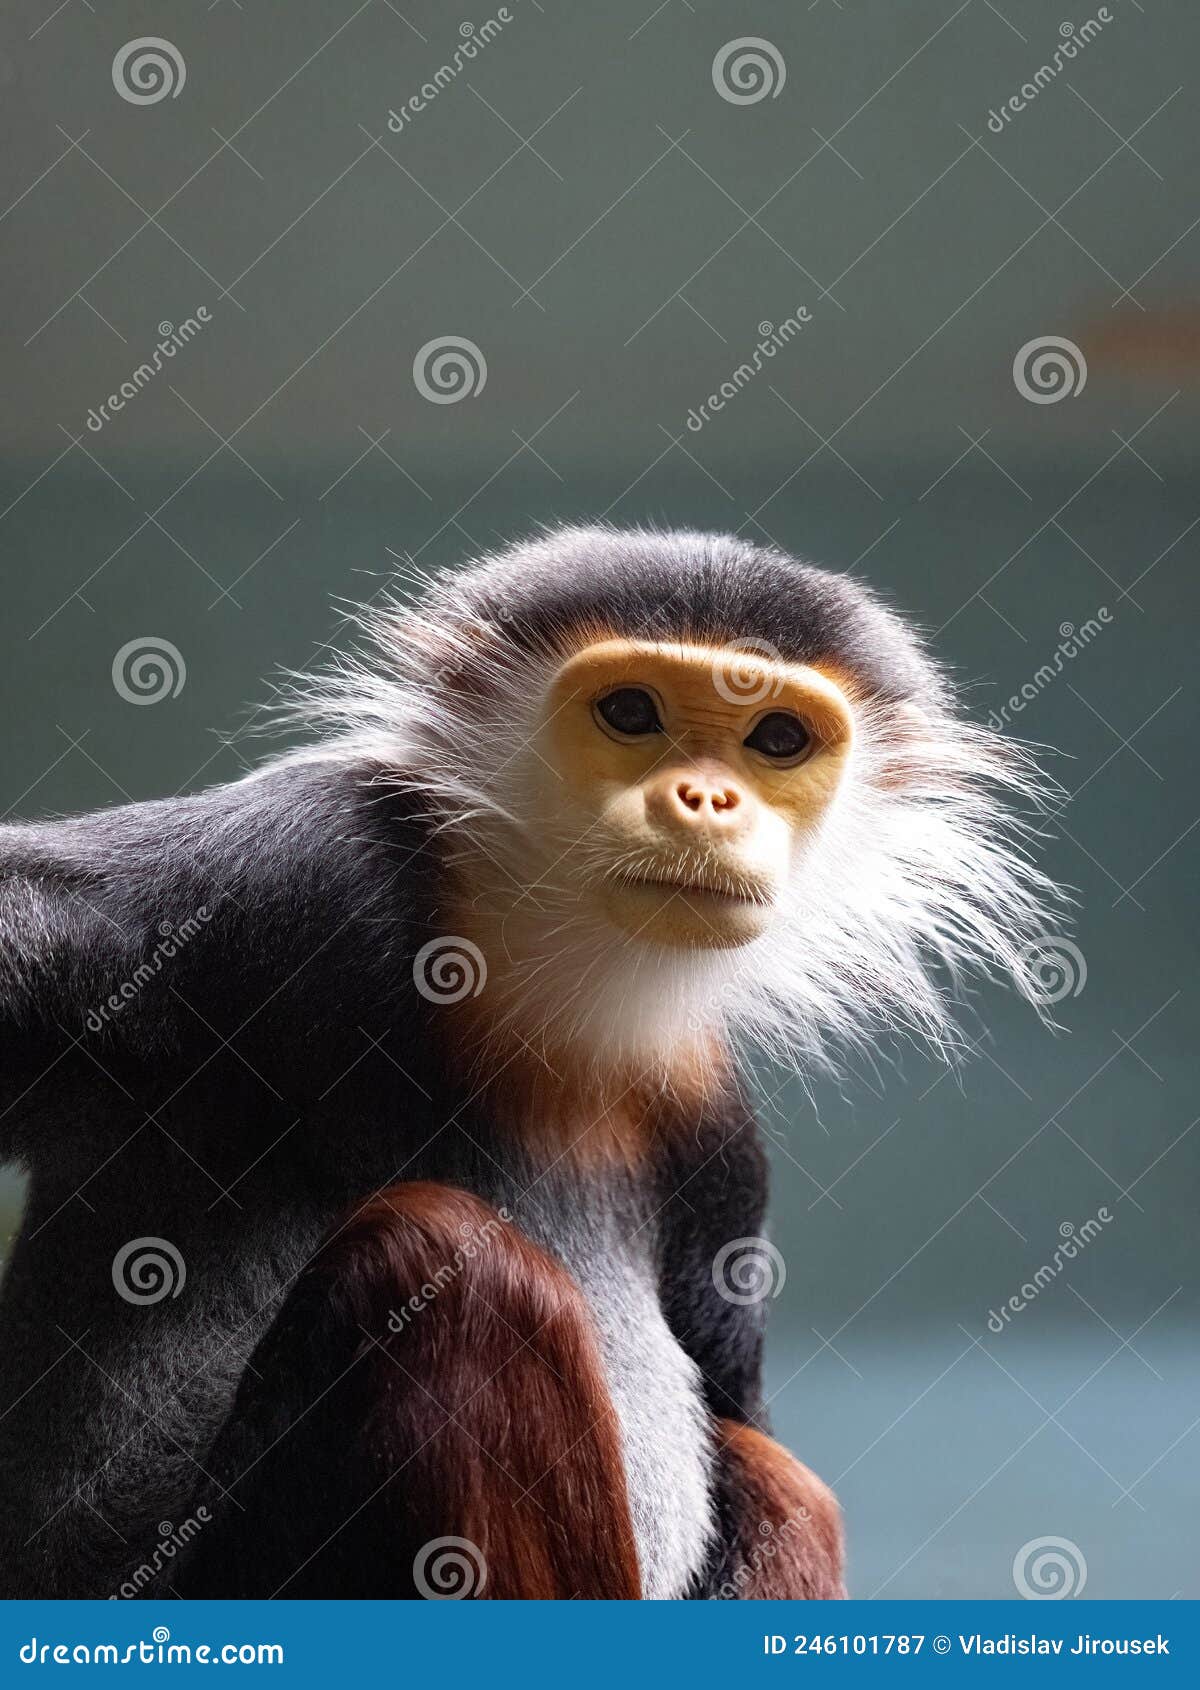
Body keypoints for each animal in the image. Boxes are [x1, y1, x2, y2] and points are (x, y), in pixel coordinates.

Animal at [0, 525, 1059, 1600]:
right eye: (630, 712)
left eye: (776, 740)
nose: (707, 798)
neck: (527, 1009)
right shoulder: (303, 867)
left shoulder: (713, 1128)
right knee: (449, 1260)